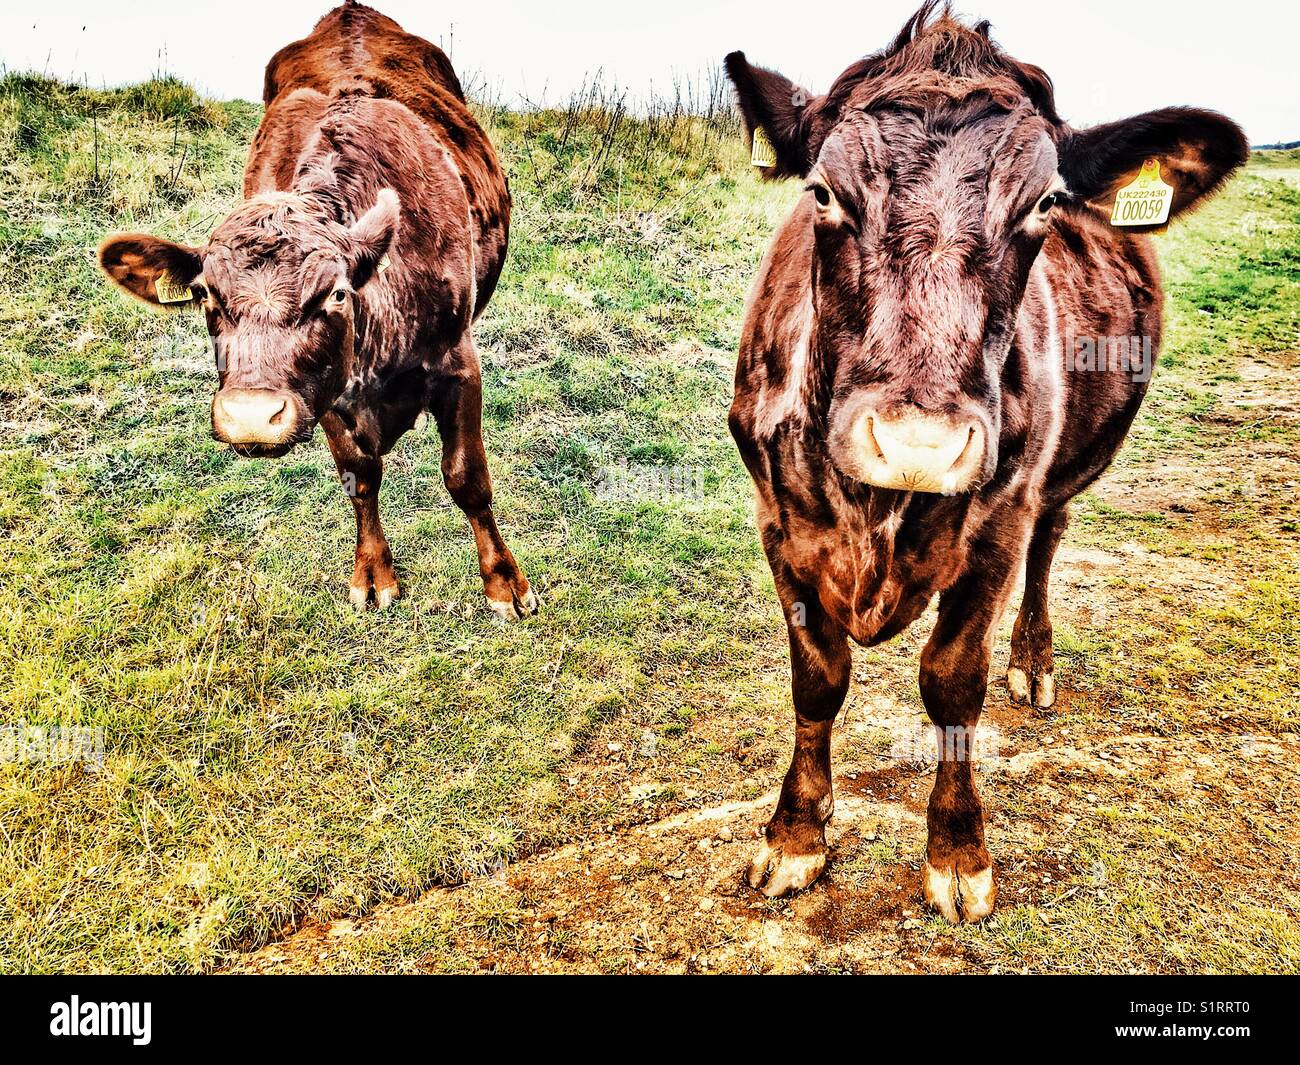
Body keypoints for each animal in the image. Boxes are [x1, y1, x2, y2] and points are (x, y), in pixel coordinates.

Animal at [98, 2, 537, 619]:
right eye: (207, 294)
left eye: (335, 293)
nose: (251, 416)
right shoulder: (323, 389)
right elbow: (360, 475)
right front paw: (374, 573)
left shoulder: (457, 361)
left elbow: (467, 477)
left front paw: (504, 584)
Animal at [724, 2, 1246, 921]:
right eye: (822, 192)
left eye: (1044, 206)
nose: (918, 446)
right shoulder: (780, 525)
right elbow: (817, 681)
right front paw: (795, 834)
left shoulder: (996, 525)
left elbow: (951, 681)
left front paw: (958, 851)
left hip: (1067, 473)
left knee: (1051, 542)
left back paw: (1033, 661)